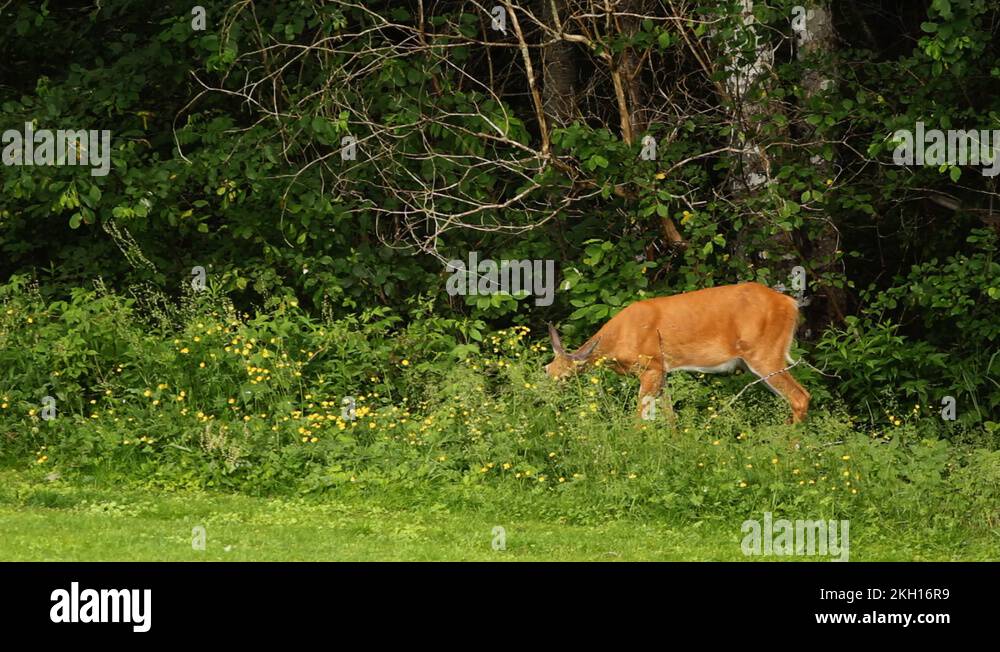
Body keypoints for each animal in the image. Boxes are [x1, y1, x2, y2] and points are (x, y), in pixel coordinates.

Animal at [544, 282, 810, 423]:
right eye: (546, 371)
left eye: (566, 378)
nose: (545, 402)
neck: (620, 338)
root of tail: (791, 304)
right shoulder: (663, 372)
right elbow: (670, 415)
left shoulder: (651, 366)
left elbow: (640, 417)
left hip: (765, 353)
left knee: (800, 397)